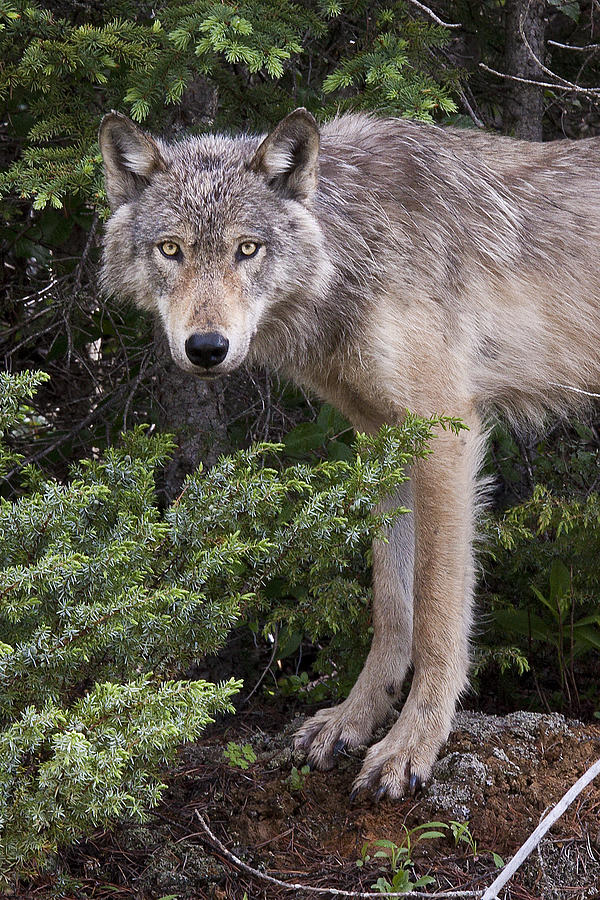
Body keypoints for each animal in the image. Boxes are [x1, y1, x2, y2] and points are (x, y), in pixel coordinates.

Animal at [99, 107, 600, 800]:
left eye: (247, 249)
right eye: (170, 249)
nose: (206, 347)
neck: (355, 249)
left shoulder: (448, 434)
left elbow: (437, 613)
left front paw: (412, 746)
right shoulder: (384, 437)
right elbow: (392, 605)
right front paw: (354, 720)